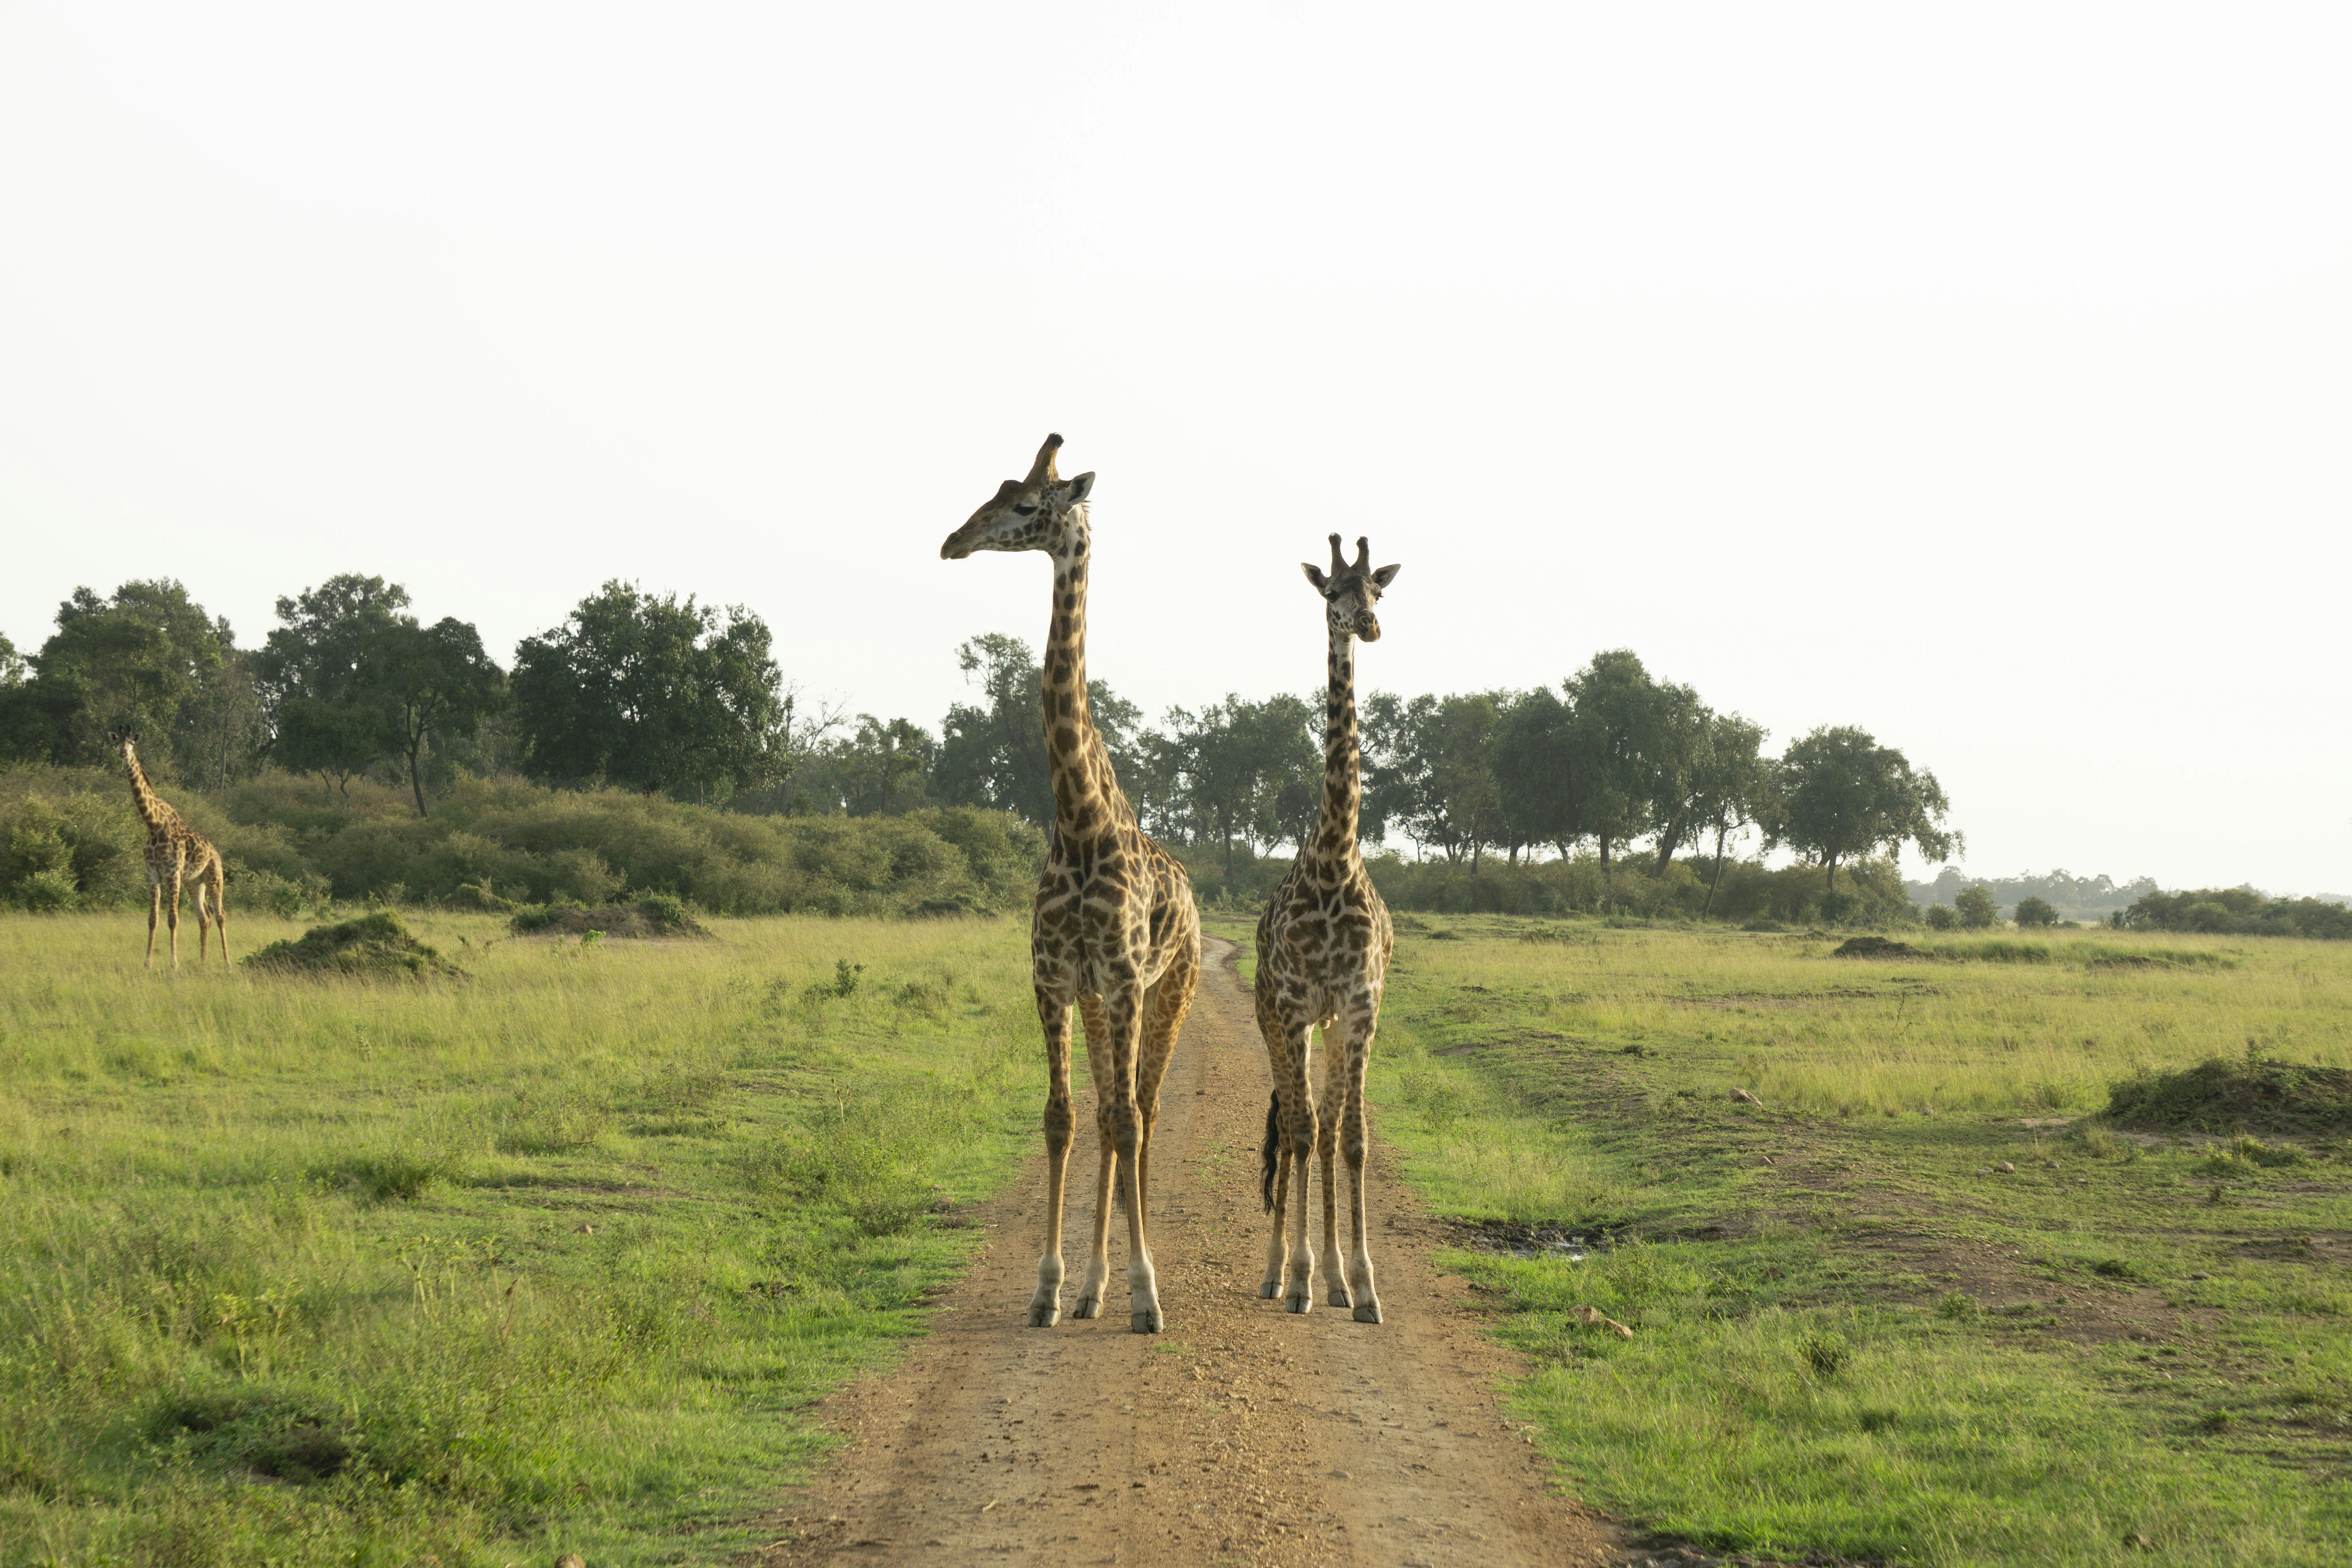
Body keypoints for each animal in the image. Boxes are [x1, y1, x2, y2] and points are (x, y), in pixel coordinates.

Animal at [116, 732, 229, 969]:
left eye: (132, 743)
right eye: (116, 742)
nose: (123, 754)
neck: (154, 825)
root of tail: (216, 853)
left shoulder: (172, 873)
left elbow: (173, 918)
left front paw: (173, 965)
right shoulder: (152, 874)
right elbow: (153, 919)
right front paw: (147, 964)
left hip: (215, 878)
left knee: (221, 915)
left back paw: (228, 964)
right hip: (194, 883)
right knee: (204, 916)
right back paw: (203, 962)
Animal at [940, 433, 1203, 1333]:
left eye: (1028, 505)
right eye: (993, 491)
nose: (953, 543)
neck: (1081, 821)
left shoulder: (1121, 978)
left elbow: (1124, 1119)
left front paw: (1147, 1292)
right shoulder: (1055, 977)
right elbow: (1063, 1117)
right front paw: (1051, 1285)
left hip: (1169, 991)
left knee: (1143, 1113)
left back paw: (1128, 1283)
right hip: (1100, 1003)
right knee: (1109, 1110)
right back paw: (1092, 1286)